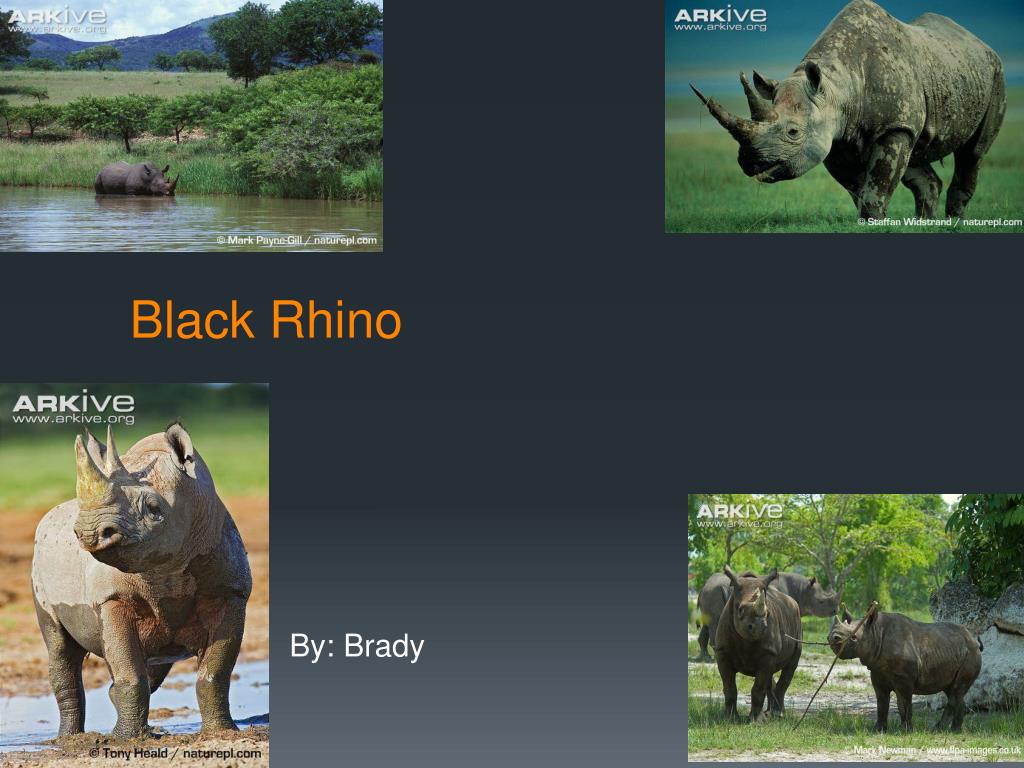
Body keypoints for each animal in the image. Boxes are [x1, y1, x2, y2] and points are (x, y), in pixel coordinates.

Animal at [31, 423, 251, 739]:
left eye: (153, 508)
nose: (89, 533)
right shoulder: (111, 598)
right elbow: (130, 672)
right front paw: (125, 740)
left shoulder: (230, 593)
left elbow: (215, 673)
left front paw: (223, 732)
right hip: (40, 567)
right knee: (61, 648)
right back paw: (68, 740)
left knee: (151, 665)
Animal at [690, 0, 1006, 219]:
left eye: (793, 132)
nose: (750, 161)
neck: (836, 88)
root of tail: (979, 42)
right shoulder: (833, 137)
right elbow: (860, 188)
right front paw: (870, 222)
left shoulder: (894, 126)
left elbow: (878, 183)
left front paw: (873, 221)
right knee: (918, 159)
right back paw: (925, 223)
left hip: (994, 73)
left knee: (973, 152)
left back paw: (954, 221)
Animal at [695, 570, 838, 662]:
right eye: (821, 602)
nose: (835, 611)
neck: (802, 590)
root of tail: (704, 586)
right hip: (713, 593)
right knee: (714, 623)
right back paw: (715, 659)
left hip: (710, 593)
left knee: (707, 624)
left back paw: (705, 658)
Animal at [715, 566, 802, 722]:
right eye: (740, 609)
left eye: (768, 613)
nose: (760, 627)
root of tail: (792, 601)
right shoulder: (721, 651)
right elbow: (729, 687)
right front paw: (730, 719)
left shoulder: (768, 652)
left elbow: (758, 688)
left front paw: (756, 722)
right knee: (770, 675)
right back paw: (770, 714)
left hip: (797, 621)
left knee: (790, 666)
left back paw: (777, 715)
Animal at [829, 607, 982, 732]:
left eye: (854, 637)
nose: (832, 637)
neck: (875, 633)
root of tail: (974, 640)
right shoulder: (877, 671)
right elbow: (881, 703)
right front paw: (878, 730)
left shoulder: (904, 677)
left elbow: (903, 703)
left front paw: (906, 731)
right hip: (955, 650)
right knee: (954, 691)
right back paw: (954, 731)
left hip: (970, 654)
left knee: (956, 691)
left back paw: (938, 730)